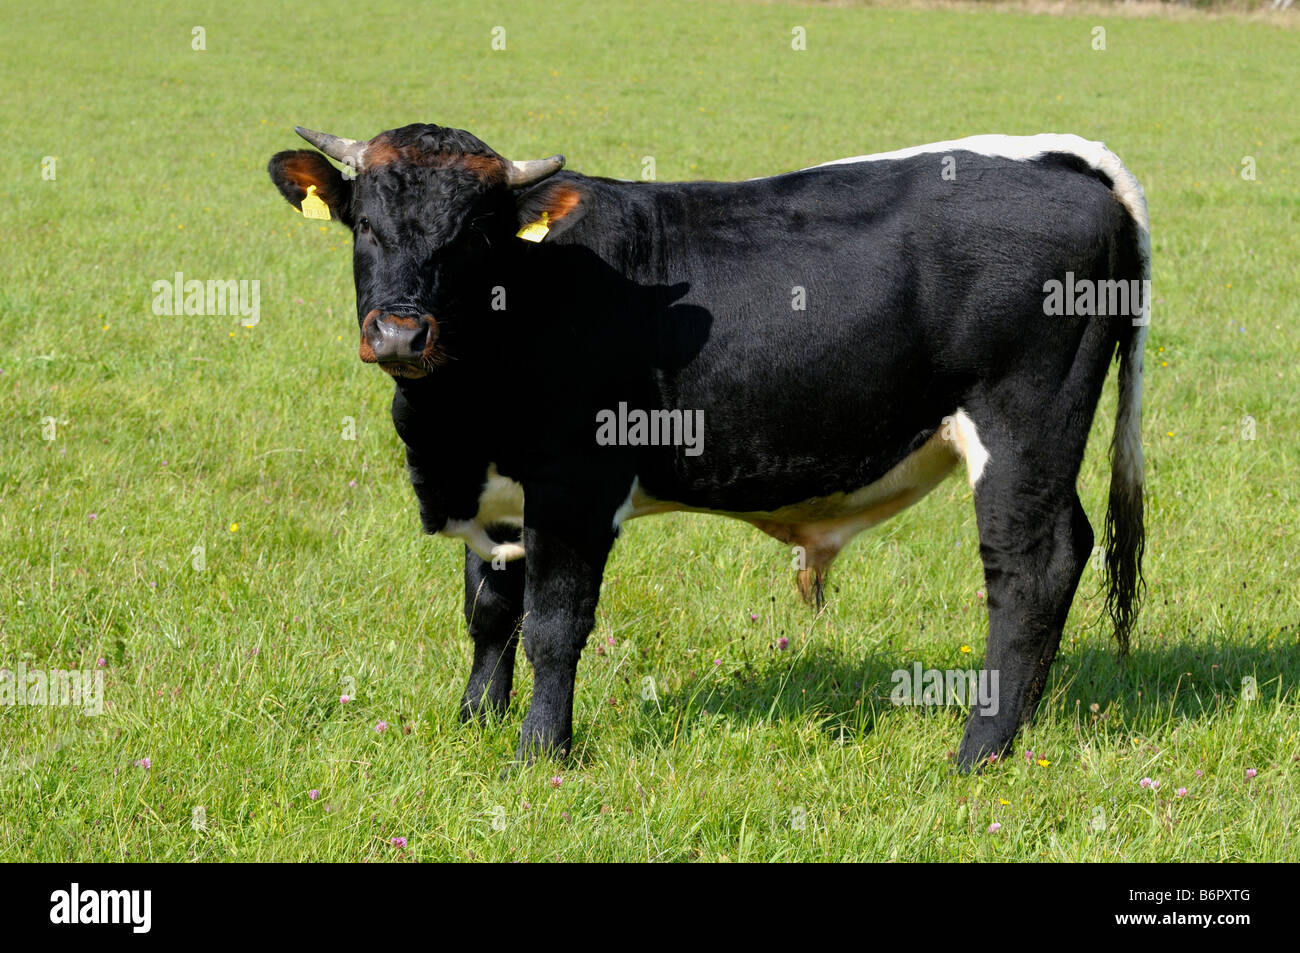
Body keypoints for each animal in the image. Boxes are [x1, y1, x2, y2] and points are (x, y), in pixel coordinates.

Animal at [268, 123, 1148, 771]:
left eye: (476, 238)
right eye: (367, 226)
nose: (400, 332)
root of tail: (1060, 159)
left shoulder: (576, 486)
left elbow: (553, 623)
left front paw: (539, 752)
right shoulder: (501, 492)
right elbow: (488, 613)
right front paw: (475, 721)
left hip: (1024, 426)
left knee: (1030, 567)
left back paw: (979, 748)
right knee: (1071, 548)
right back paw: (1020, 726)